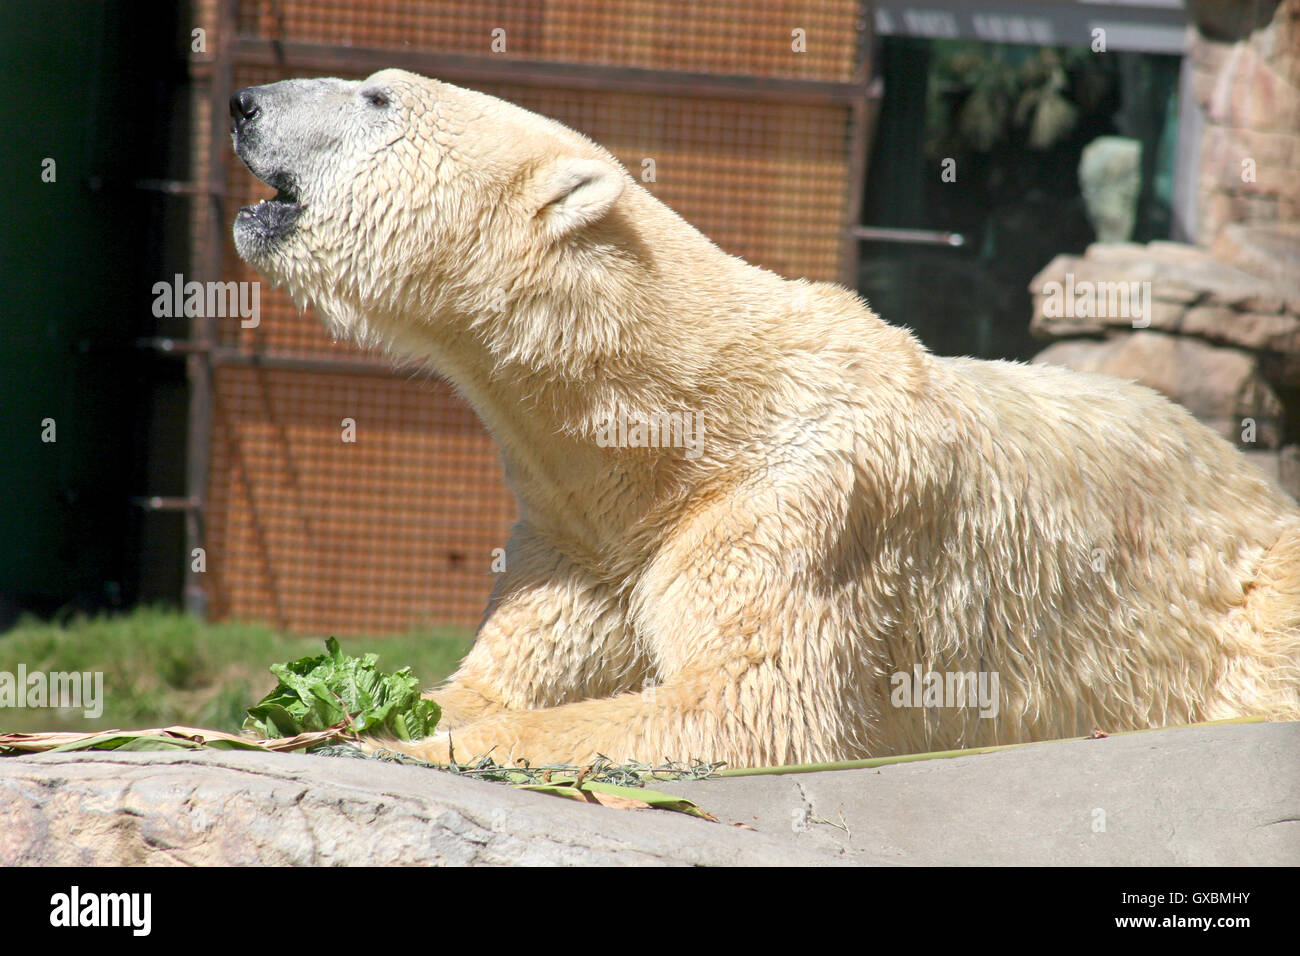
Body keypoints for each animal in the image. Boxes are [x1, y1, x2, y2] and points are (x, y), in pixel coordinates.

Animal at [230, 68, 1300, 769]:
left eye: (378, 97)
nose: (242, 102)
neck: (676, 426)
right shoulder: (580, 541)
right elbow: (508, 672)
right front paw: (319, 713)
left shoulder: (795, 508)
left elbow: (747, 703)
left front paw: (416, 745)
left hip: (1251, 588)